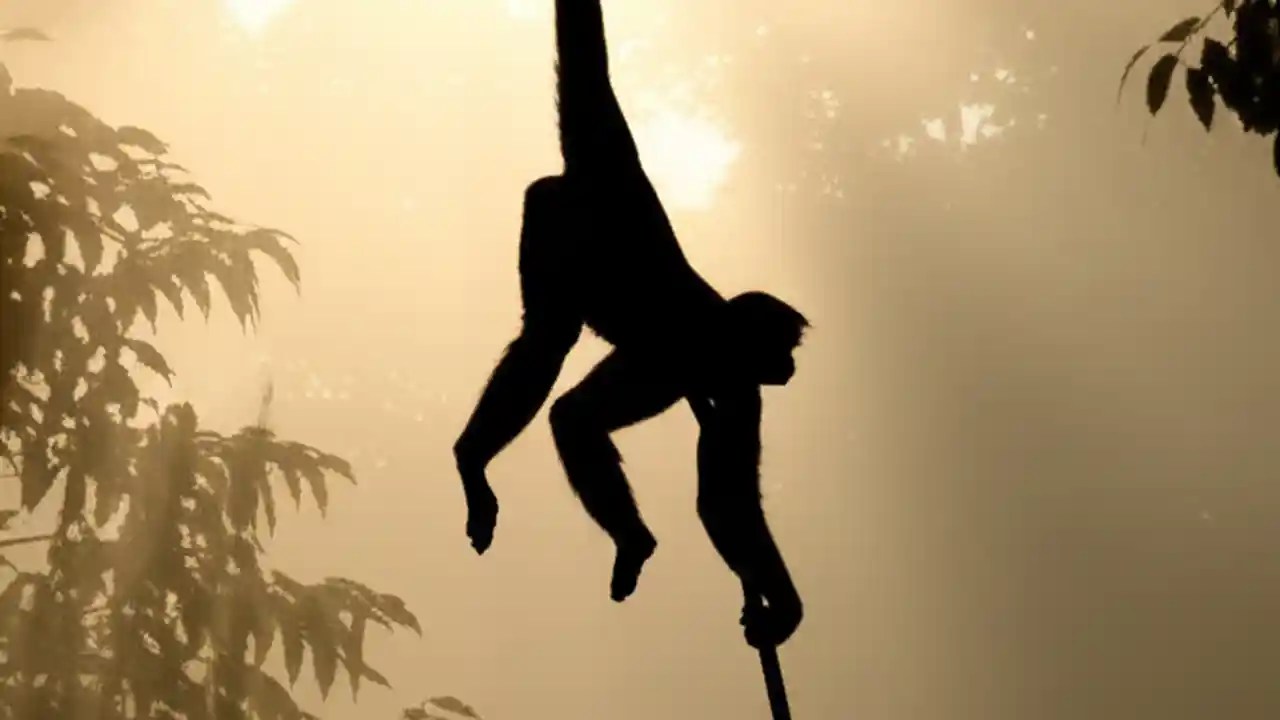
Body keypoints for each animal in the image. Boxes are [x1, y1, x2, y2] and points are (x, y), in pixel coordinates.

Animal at [452, 0, 808, 647]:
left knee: (543, 333)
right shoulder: (707, 369)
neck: (721, 325)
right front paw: (787, 611)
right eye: (787, 344)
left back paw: (472, 456)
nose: (791, 365)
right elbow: (721, 497)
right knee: (557, 371)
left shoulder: (736, 385)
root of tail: (618, 175)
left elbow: (723, 495)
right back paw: (630, 540)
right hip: (565, 220)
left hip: (545, 215)